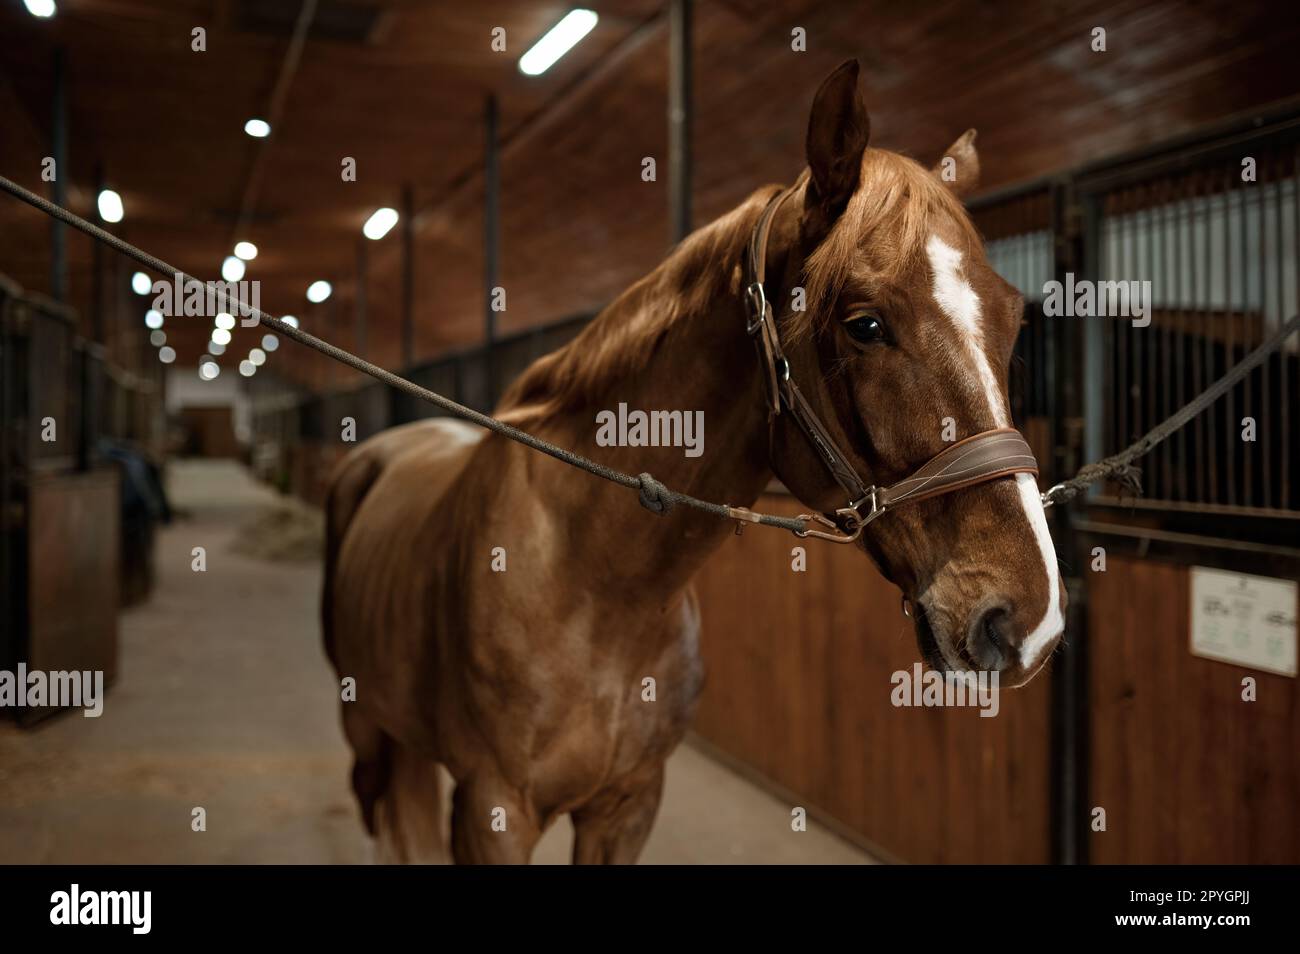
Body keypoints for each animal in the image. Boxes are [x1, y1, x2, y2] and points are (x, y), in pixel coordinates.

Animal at [321, 59, 1066, 864]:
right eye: (865, 325)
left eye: (1013, 320)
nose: (1028, 619)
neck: (596, 591)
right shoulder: (493, 812)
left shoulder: (629, 805)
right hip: (365, 728)